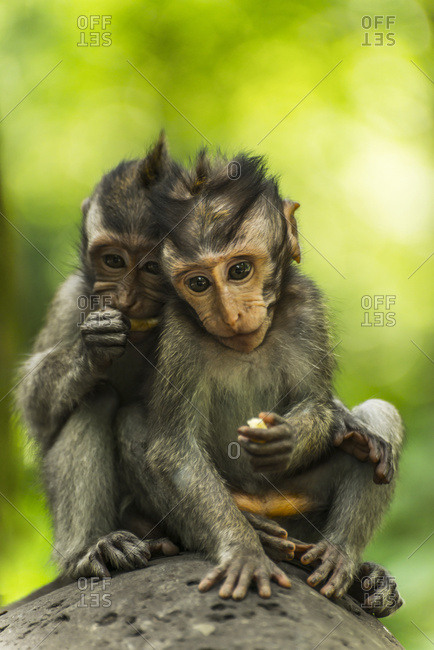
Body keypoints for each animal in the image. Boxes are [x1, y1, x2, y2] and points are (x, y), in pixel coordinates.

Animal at [117, 150, 404, 607]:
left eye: (239, 271)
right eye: (199, 283)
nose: (231, 314)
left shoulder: (307, 306)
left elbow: (317, 401)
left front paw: (289, 437)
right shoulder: (179, 330)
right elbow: (175, 449)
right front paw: (244, 549)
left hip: (300, 508)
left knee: (379, 424)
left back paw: (341, 557)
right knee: (132, 426)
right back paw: (260, 535)